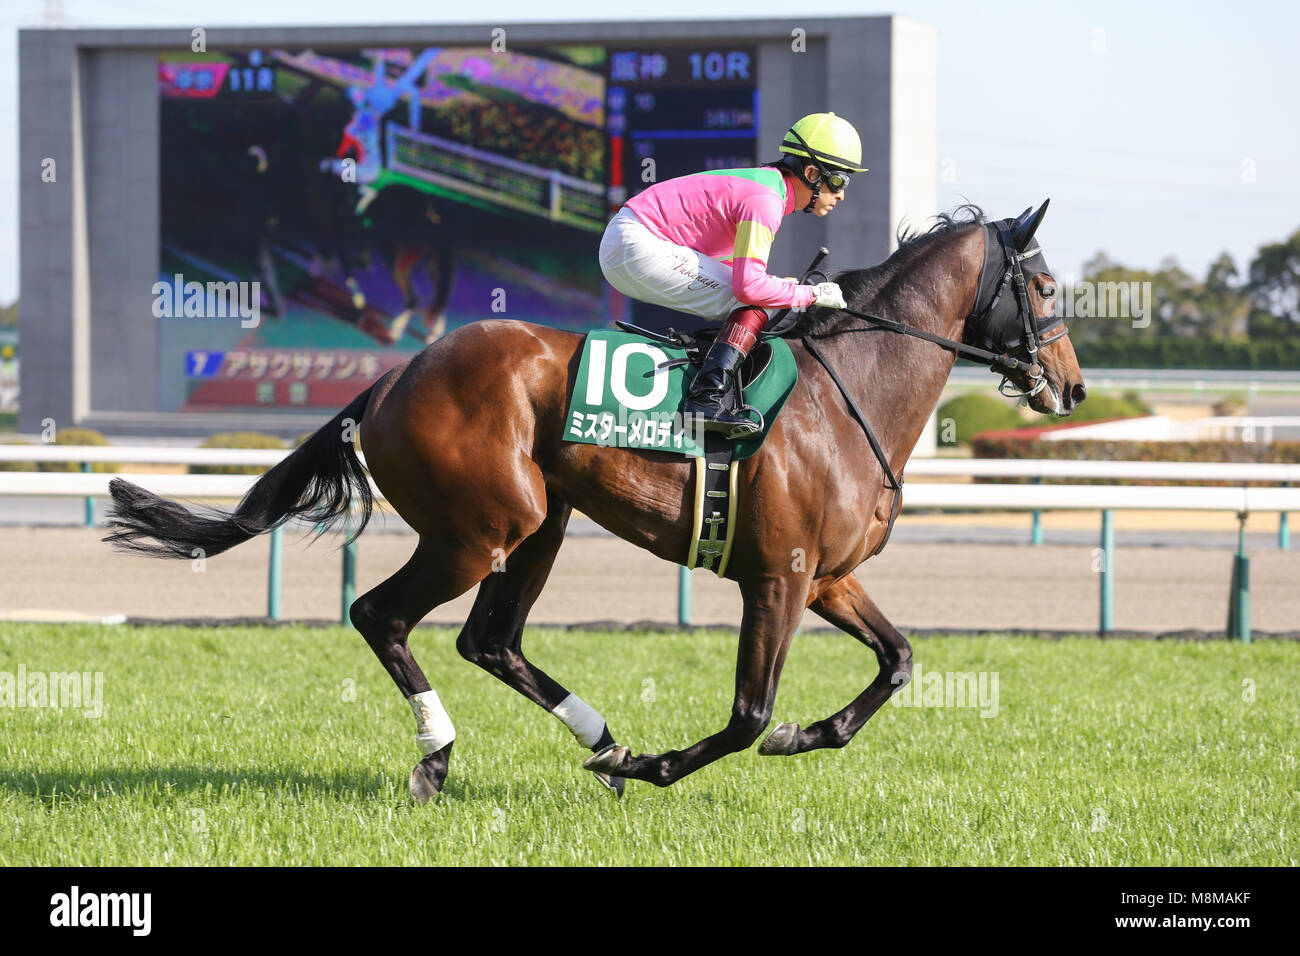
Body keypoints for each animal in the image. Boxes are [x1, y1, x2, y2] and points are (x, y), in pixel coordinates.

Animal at [104, 201, 1085, 802]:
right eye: (1043, 287)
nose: (1073, 387)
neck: (847, 395)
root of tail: (392, 378)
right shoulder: (777, 577)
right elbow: (746, 715)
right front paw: (667, 763)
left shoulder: (827, 577)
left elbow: (899, 661)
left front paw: (805, 734)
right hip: (476, 530)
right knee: (382, 615)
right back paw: (440, 758)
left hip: (540, 524)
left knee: (490, 640)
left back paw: (602, 743)